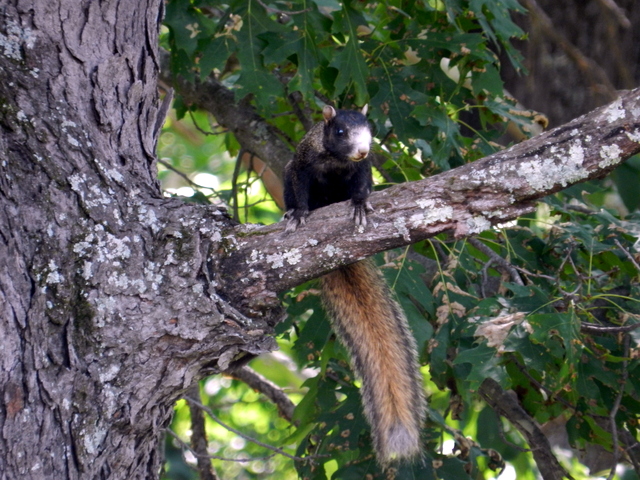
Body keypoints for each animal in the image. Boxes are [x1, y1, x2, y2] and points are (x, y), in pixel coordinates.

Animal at [284, 105, 426, 466]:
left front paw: (361, 204)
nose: (362, 149)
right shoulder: (301, 163)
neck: (337, 161)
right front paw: (299, 212)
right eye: (339, 132)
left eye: (369, 128)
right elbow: (300, 187)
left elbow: (362, 185)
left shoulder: (362, 169)